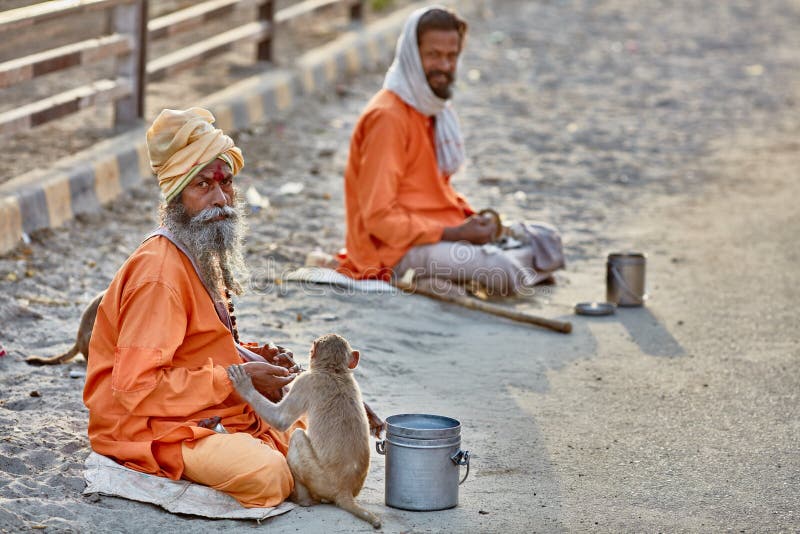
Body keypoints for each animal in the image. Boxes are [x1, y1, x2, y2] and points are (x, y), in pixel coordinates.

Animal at [227, 333, 381, 529]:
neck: (334, 371)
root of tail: (344, 490)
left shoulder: (304, 381)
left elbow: (280, 419)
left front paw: (244, 385)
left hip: (319, 478)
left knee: (298, 436)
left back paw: (302, 500)